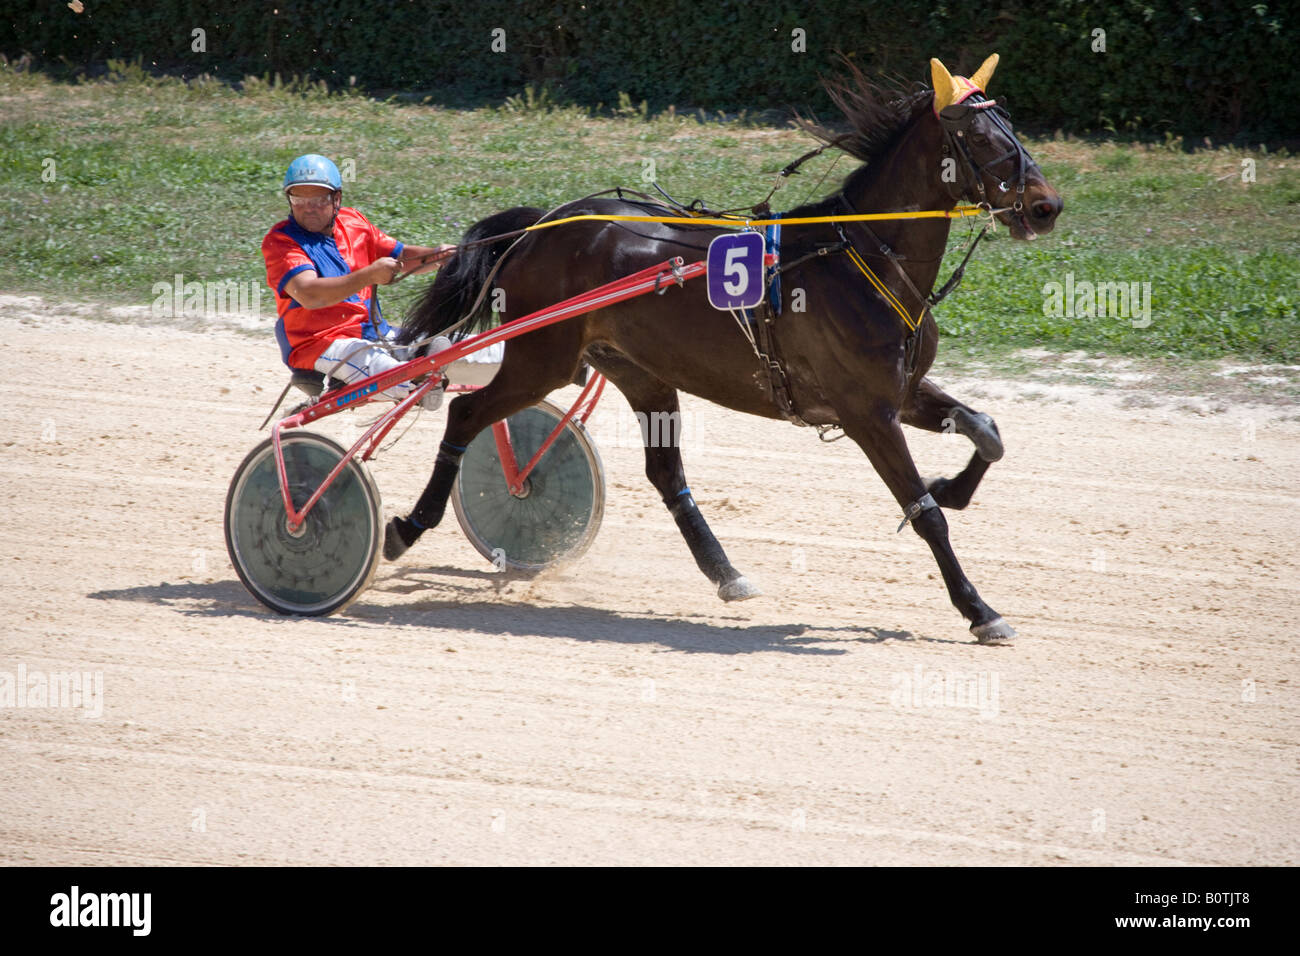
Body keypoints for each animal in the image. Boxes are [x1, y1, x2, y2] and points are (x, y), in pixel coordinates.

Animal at [388, 53, 1062, 644]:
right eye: (975, 134)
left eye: (1011, 123)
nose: (1045, 206)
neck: (861, 261)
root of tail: (542, 223)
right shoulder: (866, 412)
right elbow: (925, 514)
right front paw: (980, 609)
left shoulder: (900, 392)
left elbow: (986, 429)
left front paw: (954, 486)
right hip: (539, 359)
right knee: (465, 413)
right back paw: (406, 526)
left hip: (641, 371)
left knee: (665, 474)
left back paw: (727, 573)